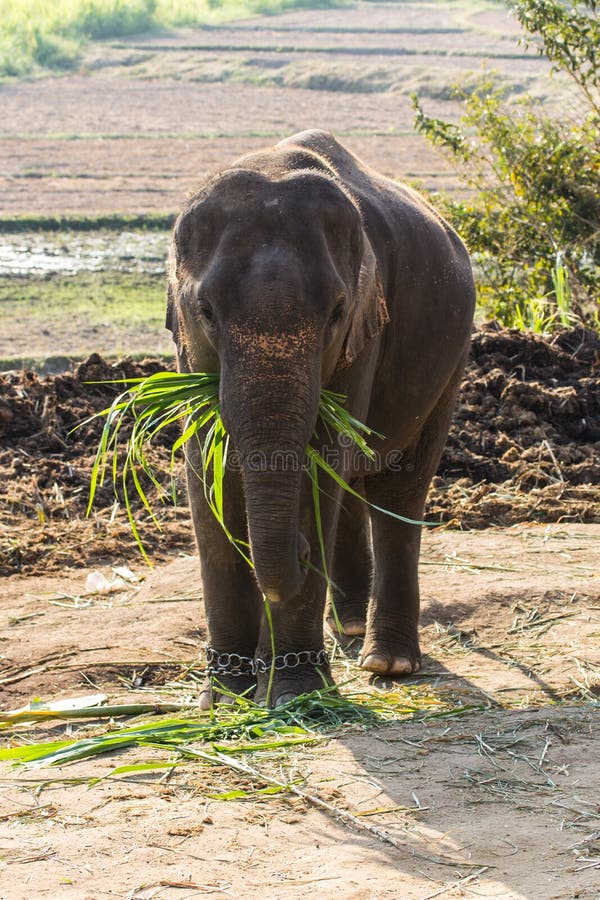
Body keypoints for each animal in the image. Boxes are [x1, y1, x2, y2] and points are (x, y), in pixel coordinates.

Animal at [166, 129, 475, 707]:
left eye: (336, 312)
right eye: (207, 312)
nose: (303, 548)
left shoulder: (365, 331)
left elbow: (321, 457)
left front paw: (293, 695)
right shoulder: (187, 353)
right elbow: (206, 468)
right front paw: (227, 698)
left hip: (453, 357)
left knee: (397, 489)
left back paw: (388, 662)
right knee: (352, 485)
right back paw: (348, 627)